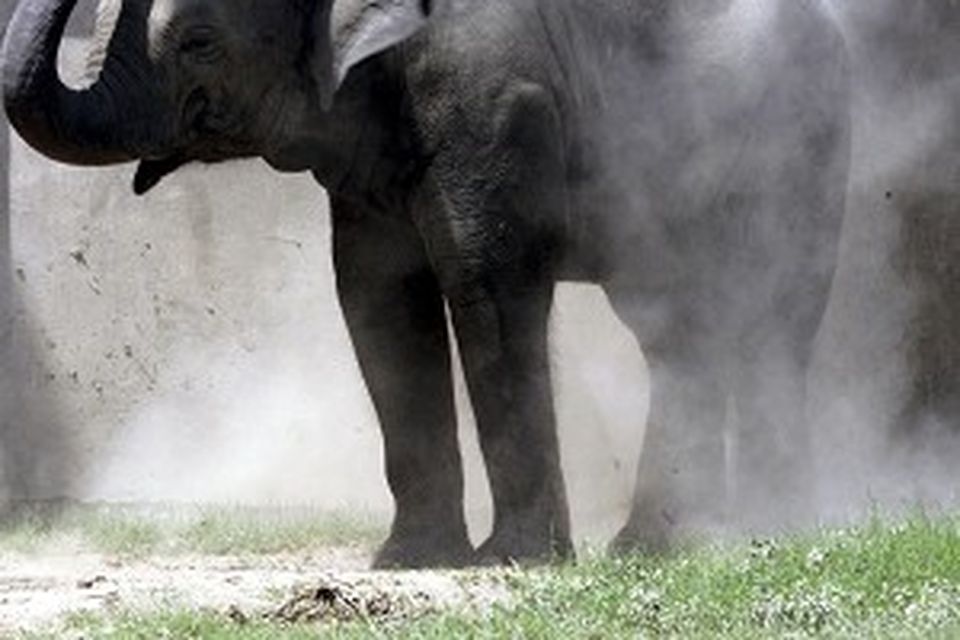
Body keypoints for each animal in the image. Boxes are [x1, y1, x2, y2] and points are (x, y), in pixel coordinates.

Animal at [2, 0, 850, 567]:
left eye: (199, 44)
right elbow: (376, 303)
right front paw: (408, 560)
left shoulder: (494, 103)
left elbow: (486, 283)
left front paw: (514, 561)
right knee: (677, 331)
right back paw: (654, 546)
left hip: (805, 143)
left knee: (777, 321)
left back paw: (778, 525)